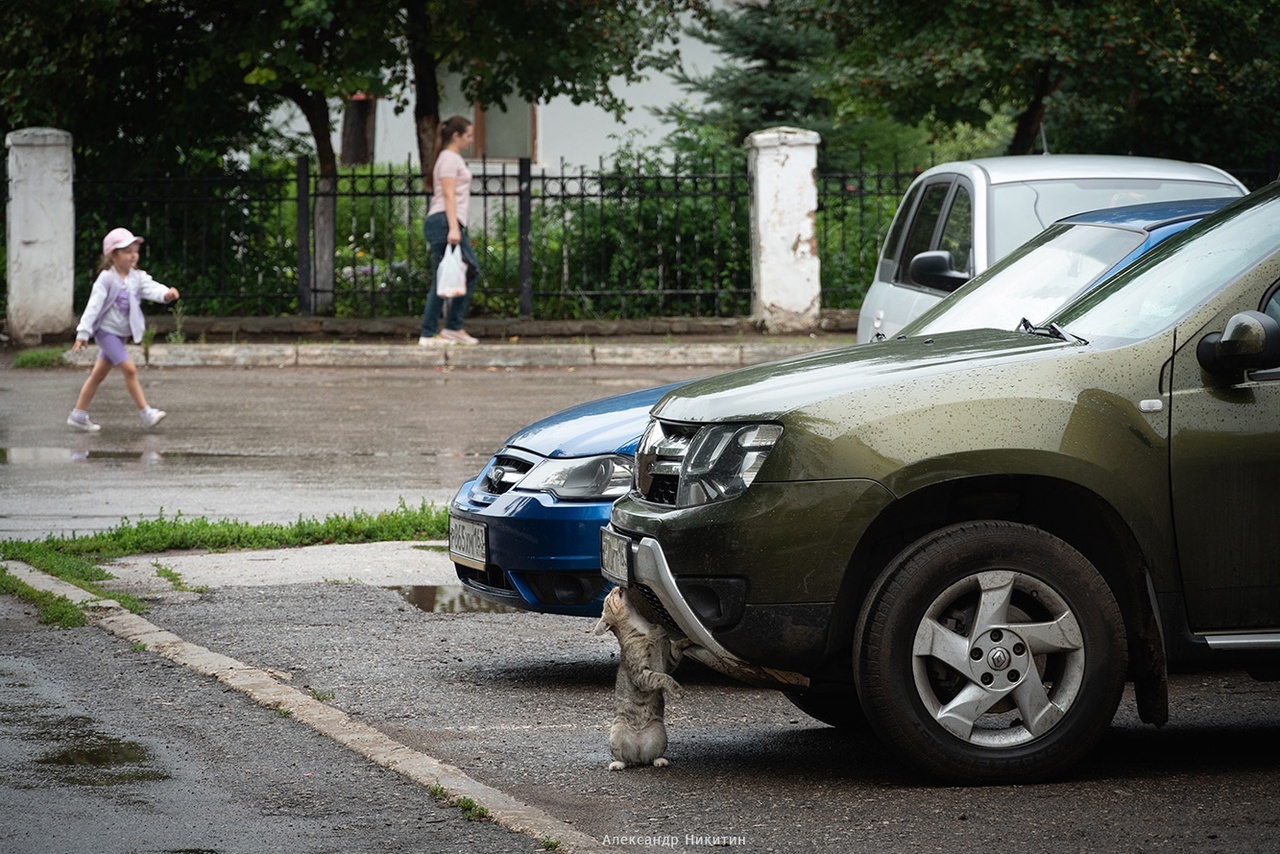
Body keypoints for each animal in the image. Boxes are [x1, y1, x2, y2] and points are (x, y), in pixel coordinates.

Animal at [596, 583, 696, 773]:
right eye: (608, 598)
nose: (614, 586)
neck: (643, 628)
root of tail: (638, 753)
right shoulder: (642, 674)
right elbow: (661, 677)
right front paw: (677, 689)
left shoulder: (669, 658)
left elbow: (677, 648)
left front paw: (688, 640)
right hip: (617, 729)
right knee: (622, 758)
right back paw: (617, 764)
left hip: (659, 731)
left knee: (651, 757)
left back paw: (659, 760)